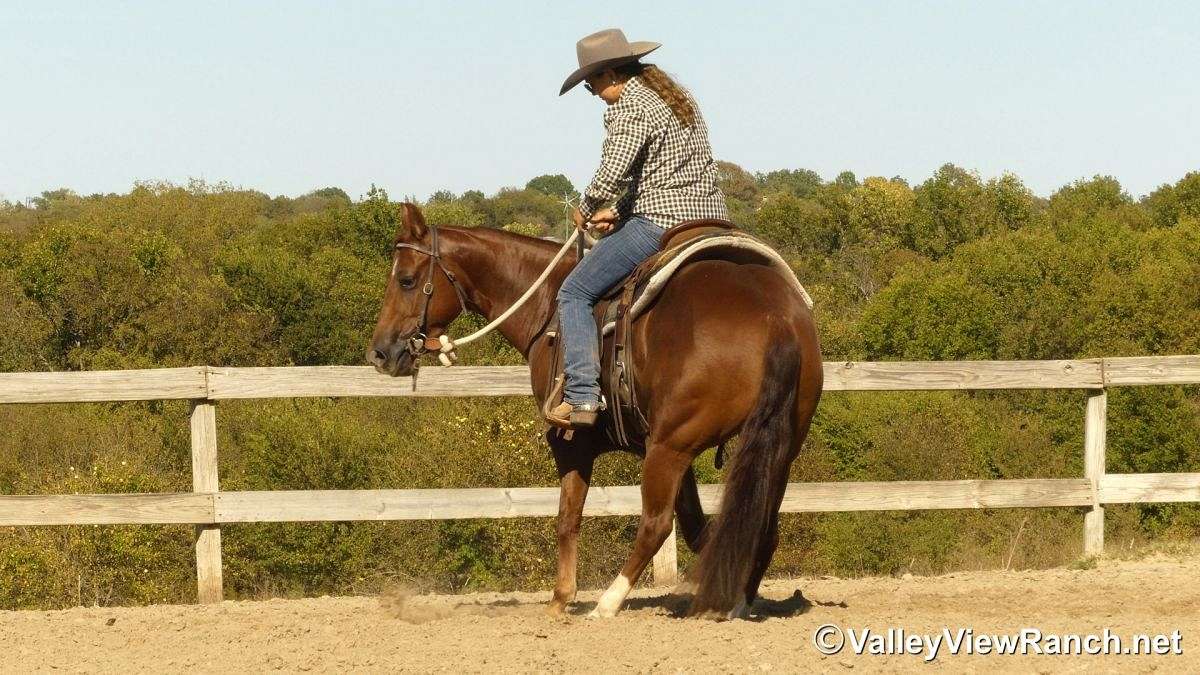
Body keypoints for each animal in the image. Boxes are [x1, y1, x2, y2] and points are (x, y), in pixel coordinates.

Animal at [368, 203, 823, 618]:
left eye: (406, 280)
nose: (381, 352)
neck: (546, 304)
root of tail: (776, 318)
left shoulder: (572, 440)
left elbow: (568, 517)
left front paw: (561, 598)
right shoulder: (654, 445)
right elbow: (696, 524)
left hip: (671, 448)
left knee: (655, 524)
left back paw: (608, 603)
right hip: (769, 447)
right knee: (762, 523)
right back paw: (737, 600)